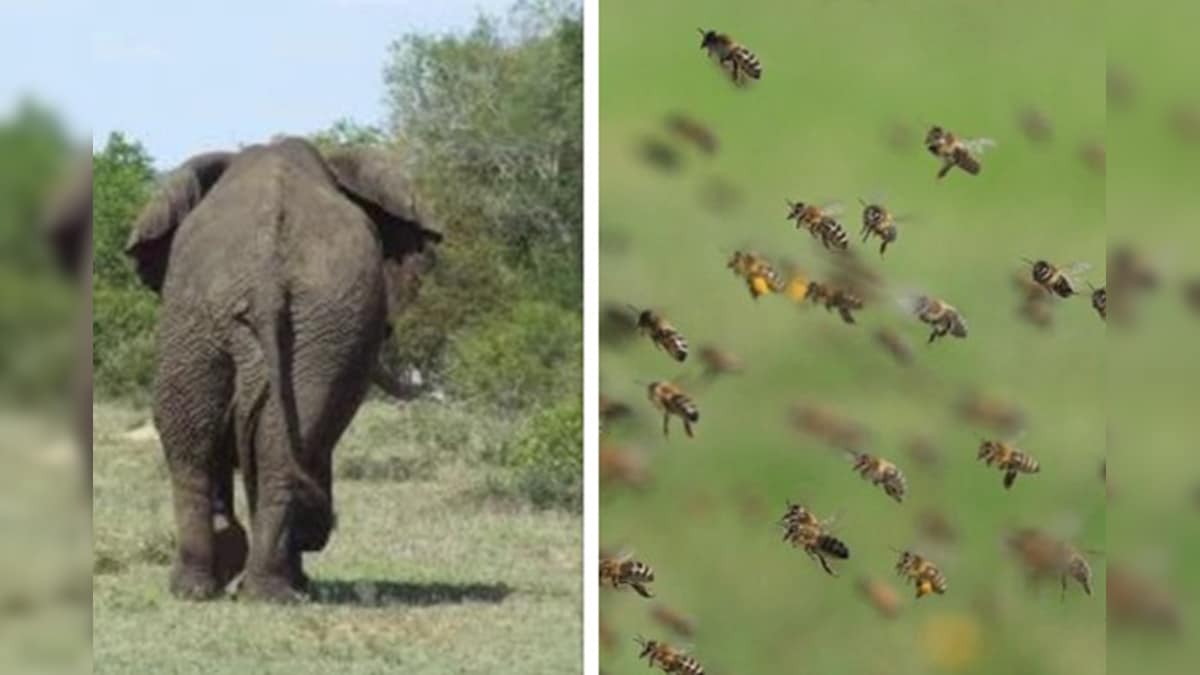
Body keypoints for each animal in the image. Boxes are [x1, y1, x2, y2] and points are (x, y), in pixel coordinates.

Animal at [125, 136, 442, 602]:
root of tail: (266, 273)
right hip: (268, 321)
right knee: (247, 443)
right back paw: (258, 590)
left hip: (218, 318)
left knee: (205, 444)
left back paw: (216, 588)